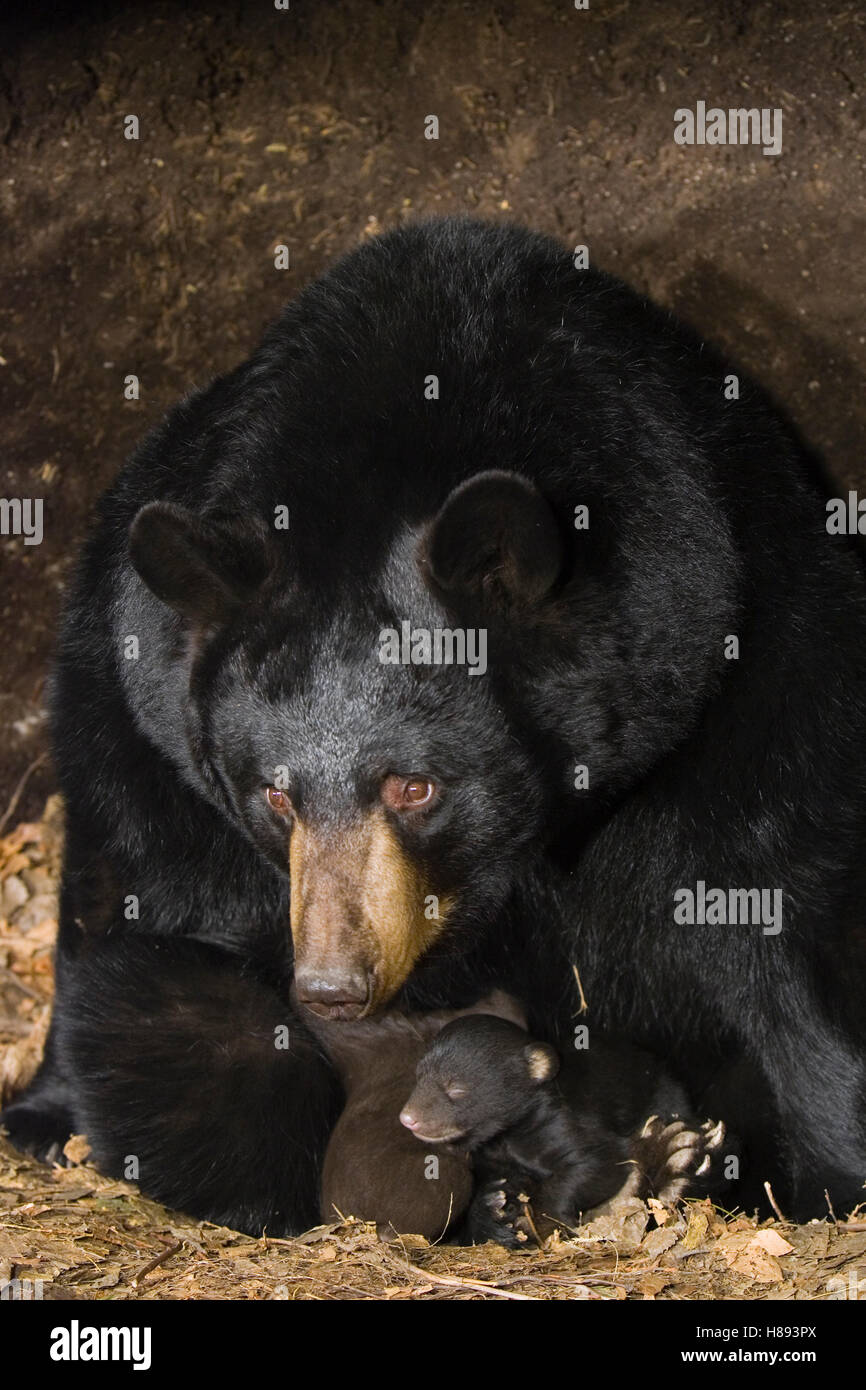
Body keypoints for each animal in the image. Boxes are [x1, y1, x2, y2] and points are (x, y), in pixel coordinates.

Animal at [401, 1014, 732, 1246]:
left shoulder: (563, 1123)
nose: (408, 1118)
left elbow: (597, 1162)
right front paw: (497, 1208)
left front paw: (545, 1222)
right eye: (418, 1076)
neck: (508, 1134)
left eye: (455, 1088)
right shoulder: (491, 1157)